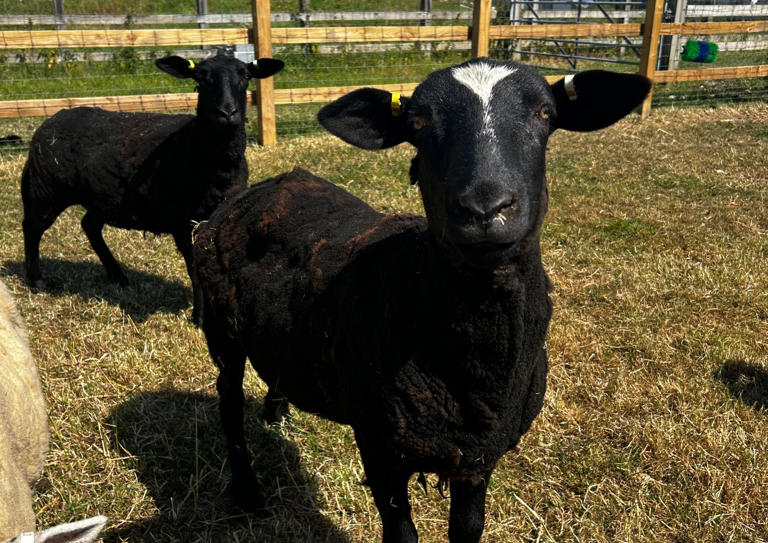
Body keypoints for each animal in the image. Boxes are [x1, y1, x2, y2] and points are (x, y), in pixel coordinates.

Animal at [21, 52, 284, 324]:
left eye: (246, 75)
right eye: (200, 78)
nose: (227, 112)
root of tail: (52, 119)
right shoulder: (183, 223)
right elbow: (194, 267)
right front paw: (200, 318)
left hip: (104, 199)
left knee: (89, 226)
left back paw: (118, 276)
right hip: (45, 190)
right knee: (32, 227)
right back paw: (36, 280)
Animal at [192, 58, 651, 542]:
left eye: (546, 114)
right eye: (417, 124)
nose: (486, 209)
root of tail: (265, 186)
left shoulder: (478, 455)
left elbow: (468, 528)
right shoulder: (378, 444)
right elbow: (401, 533)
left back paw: (277, 415)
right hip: (222, 332)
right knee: (229, 403)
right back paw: (247, 494)